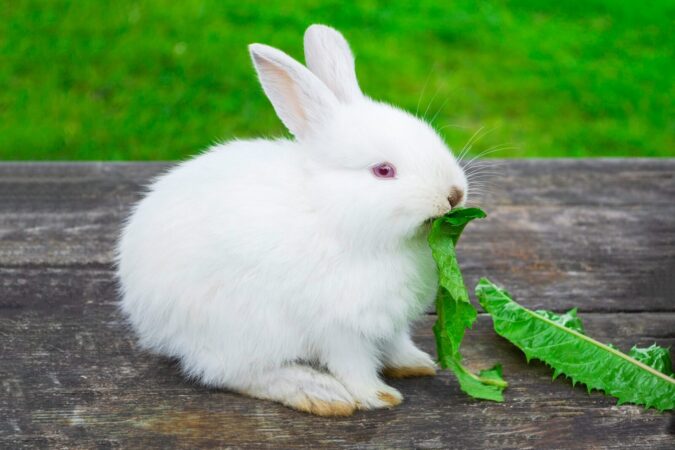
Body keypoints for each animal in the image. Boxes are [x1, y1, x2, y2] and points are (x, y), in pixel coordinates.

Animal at [116, 24, 468, 417]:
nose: (454, 195)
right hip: (243, 329)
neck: (333, 215)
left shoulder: (388, 323)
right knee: (231, 373)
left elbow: (394, 344)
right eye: (383, 170)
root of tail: (148, 319)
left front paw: (416, 363)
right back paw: (318, 392)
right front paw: (378, 397)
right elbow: (354, 366)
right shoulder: (340, 328)